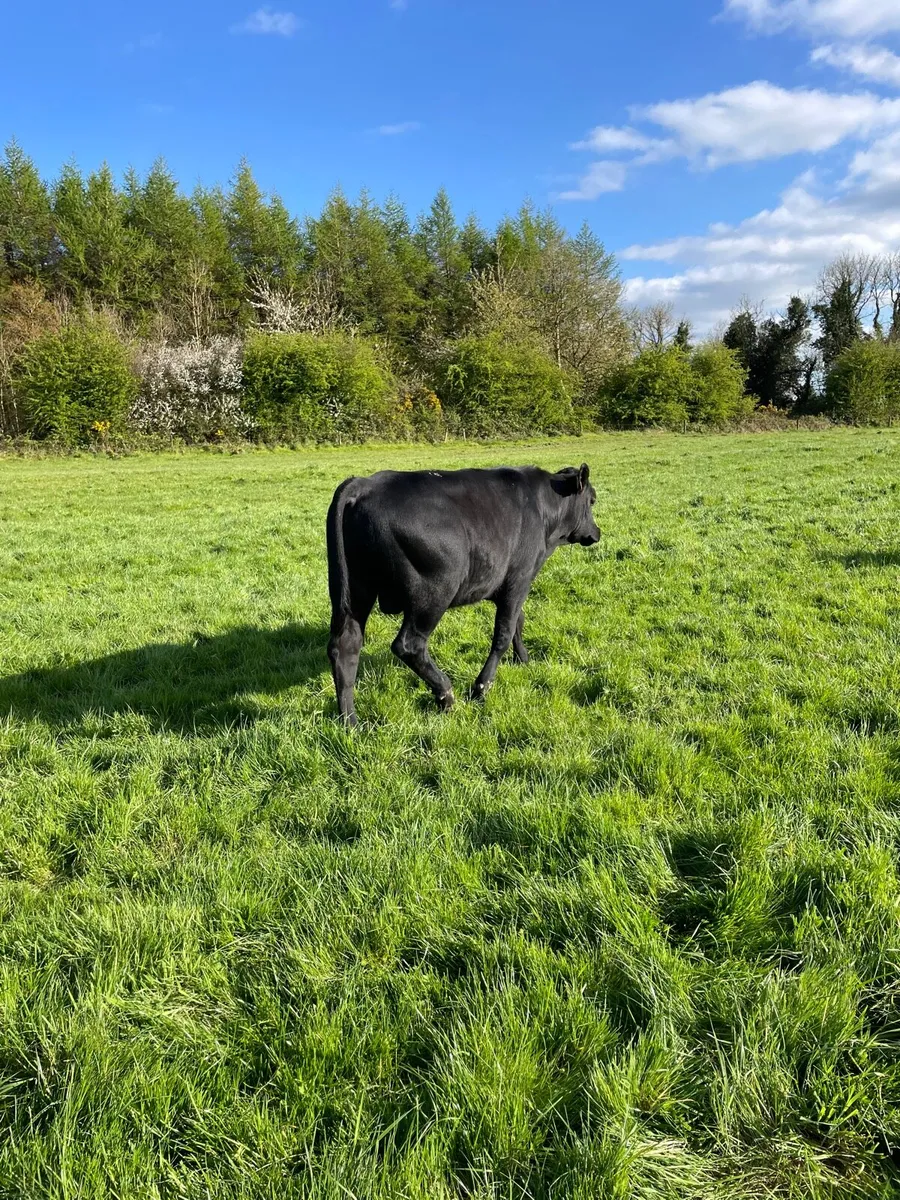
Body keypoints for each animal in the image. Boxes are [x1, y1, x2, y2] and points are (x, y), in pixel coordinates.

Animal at [328, 458, 602, 720]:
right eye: (592, 500)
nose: (597, 532)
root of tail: (365, 484)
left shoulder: (503, 587)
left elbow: (518, 622)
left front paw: (523, 660)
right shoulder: (519, 581)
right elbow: (503, 634)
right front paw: (481, 688)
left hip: (354, 593)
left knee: (345, 648)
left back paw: (350, 721)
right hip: (433, 594)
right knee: (409, 645)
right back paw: (446, 695)